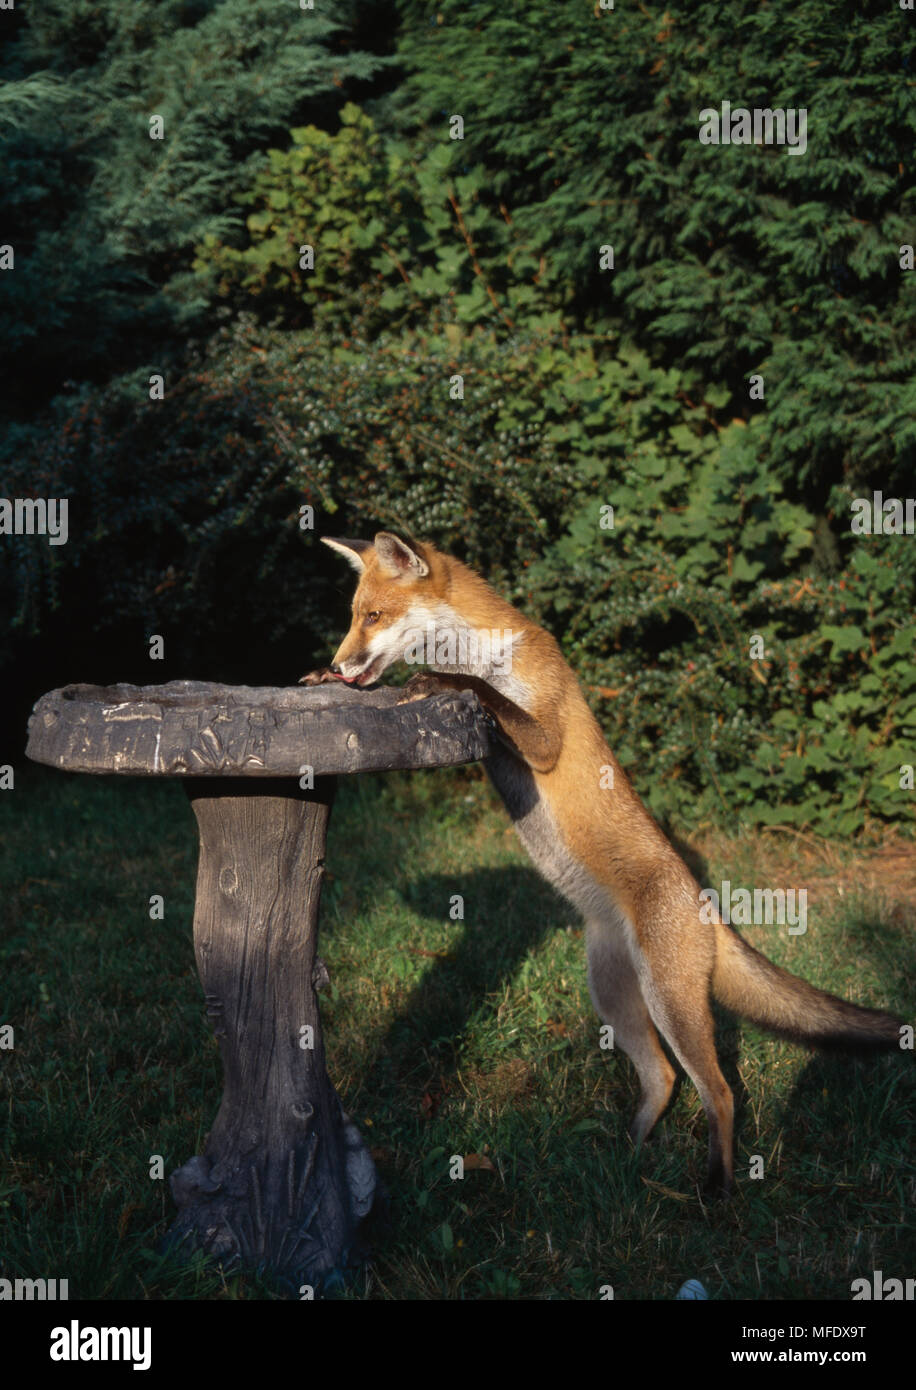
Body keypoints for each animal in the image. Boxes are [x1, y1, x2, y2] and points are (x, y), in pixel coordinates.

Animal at [301, 530, 906, 1194]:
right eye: (355, 616)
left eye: (373, 617)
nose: (340, 665)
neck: (481, 650)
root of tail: (704, 902)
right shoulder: (489, 750)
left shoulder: (543, 738)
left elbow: (481, 693)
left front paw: (432, 680)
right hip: (613, 998)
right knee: (663, 1078)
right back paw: (631, 1155)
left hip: (671, 1005)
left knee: (720, 1091)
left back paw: (715, 1186)